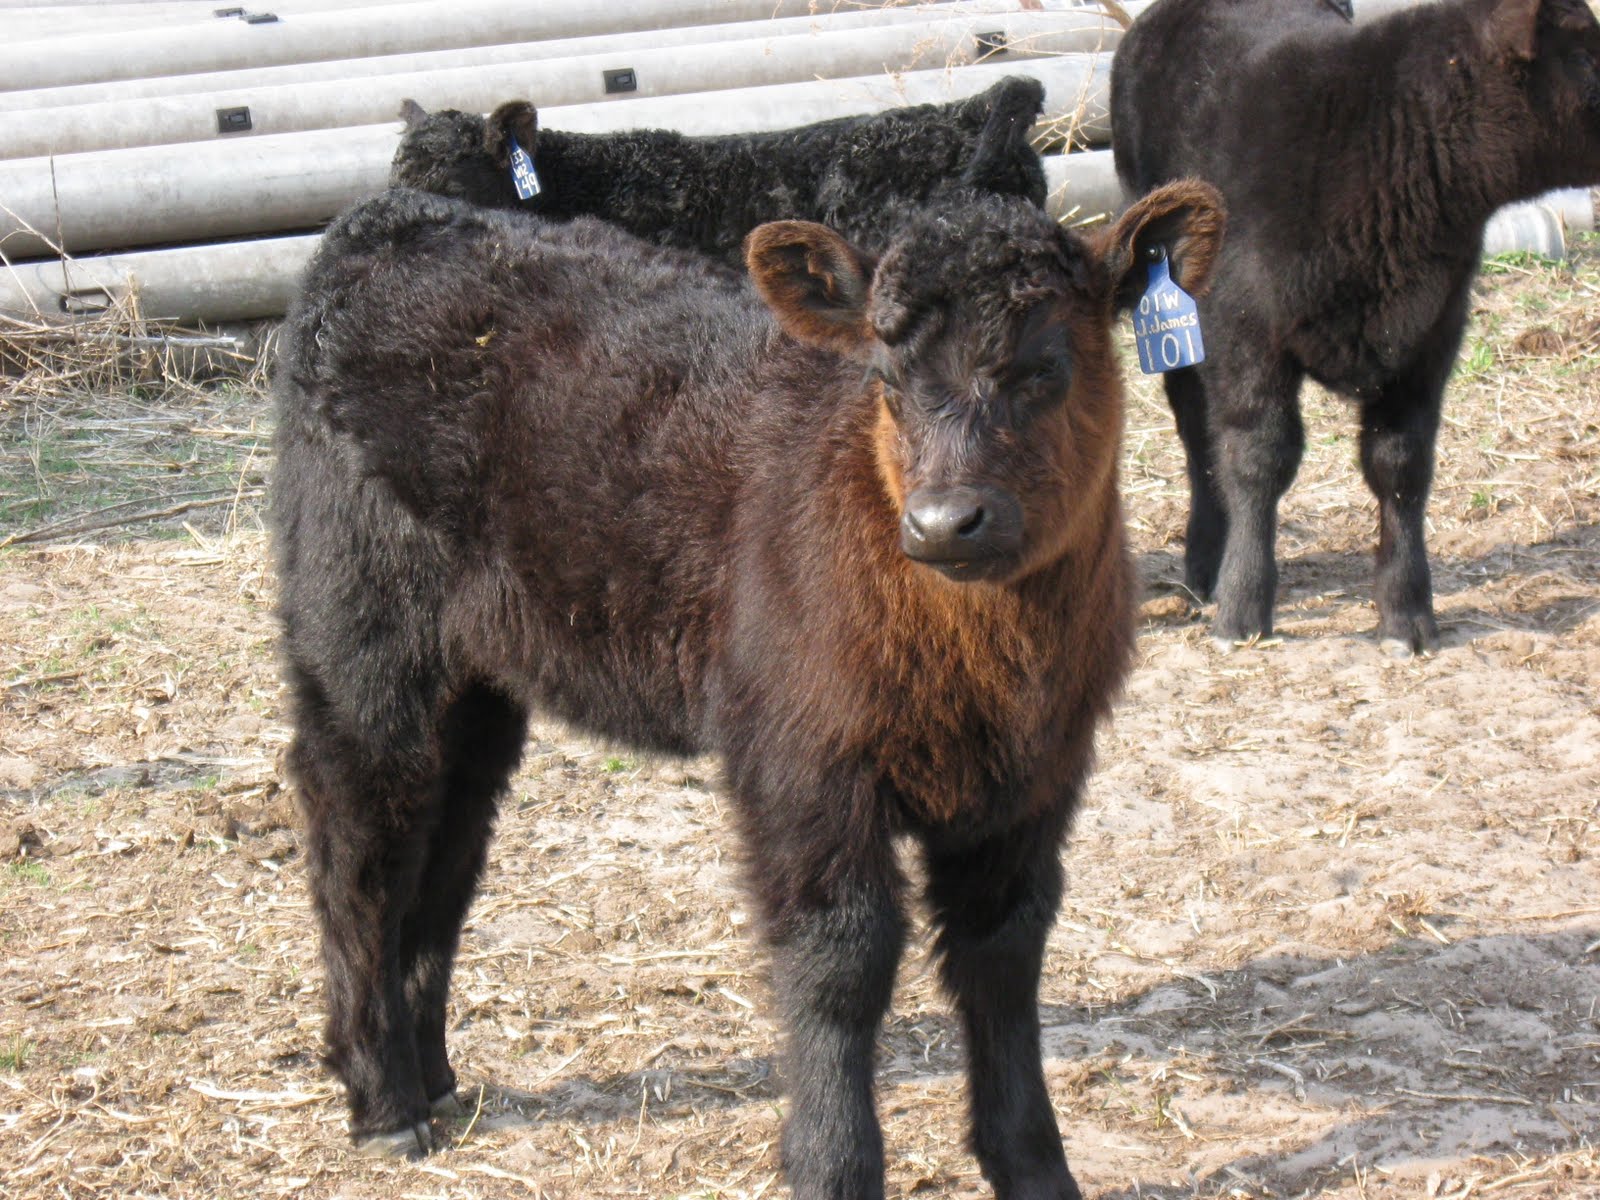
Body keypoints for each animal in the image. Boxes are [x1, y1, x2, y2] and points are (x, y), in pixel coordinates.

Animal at [270, 181, 1224, 1198]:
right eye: (887, 381)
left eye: (1046, 368)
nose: (943, 522)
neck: (982, 662)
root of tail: (388, 216)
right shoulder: (801, 764)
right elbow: (839, 962)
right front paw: (832, 1168)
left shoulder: (1035, 777)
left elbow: (1003, 953)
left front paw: (1035, 1168)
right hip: (359, 640)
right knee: (359, 847)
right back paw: (384, 1102)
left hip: (478, 684)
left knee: (446, 846)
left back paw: (434, 1077)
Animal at [1112, 0, 1600, 655]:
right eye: (1586, 57)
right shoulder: (1245, 334)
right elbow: (1259, 458)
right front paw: (1242, 607)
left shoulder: (1431, 337)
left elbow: (1401, 466)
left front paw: (1406, 614)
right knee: (1196, 432)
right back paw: (1205, 565)